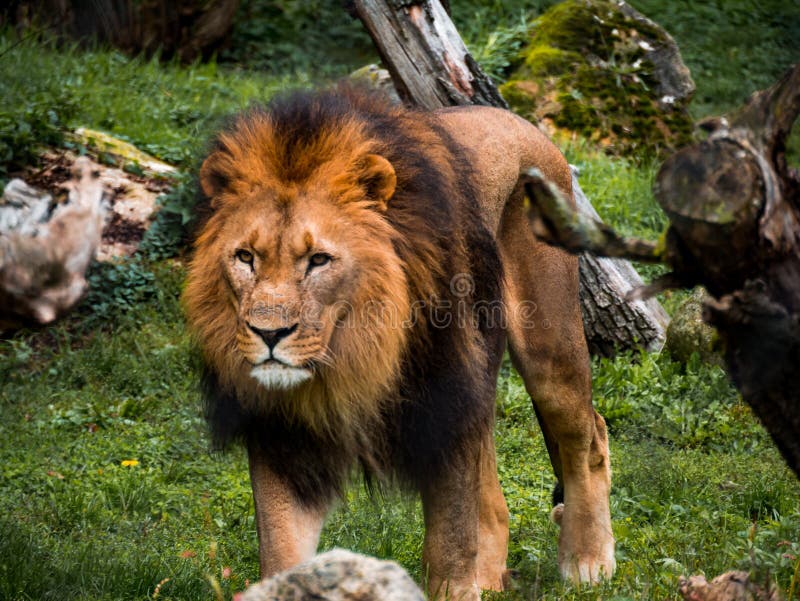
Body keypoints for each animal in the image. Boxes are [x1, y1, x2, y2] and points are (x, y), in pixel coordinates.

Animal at [183, 87, 614, 599]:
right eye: (245, 257)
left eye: (319, 260)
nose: (268, 333)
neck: (355, 353)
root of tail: (521, 123)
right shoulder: (283, 436)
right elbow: (282, 552)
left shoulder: (445, 407)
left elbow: (450, 546)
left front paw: (458, 587)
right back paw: (491, 578)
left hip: (549, 345)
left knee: (589, 436)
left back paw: (588, 562)